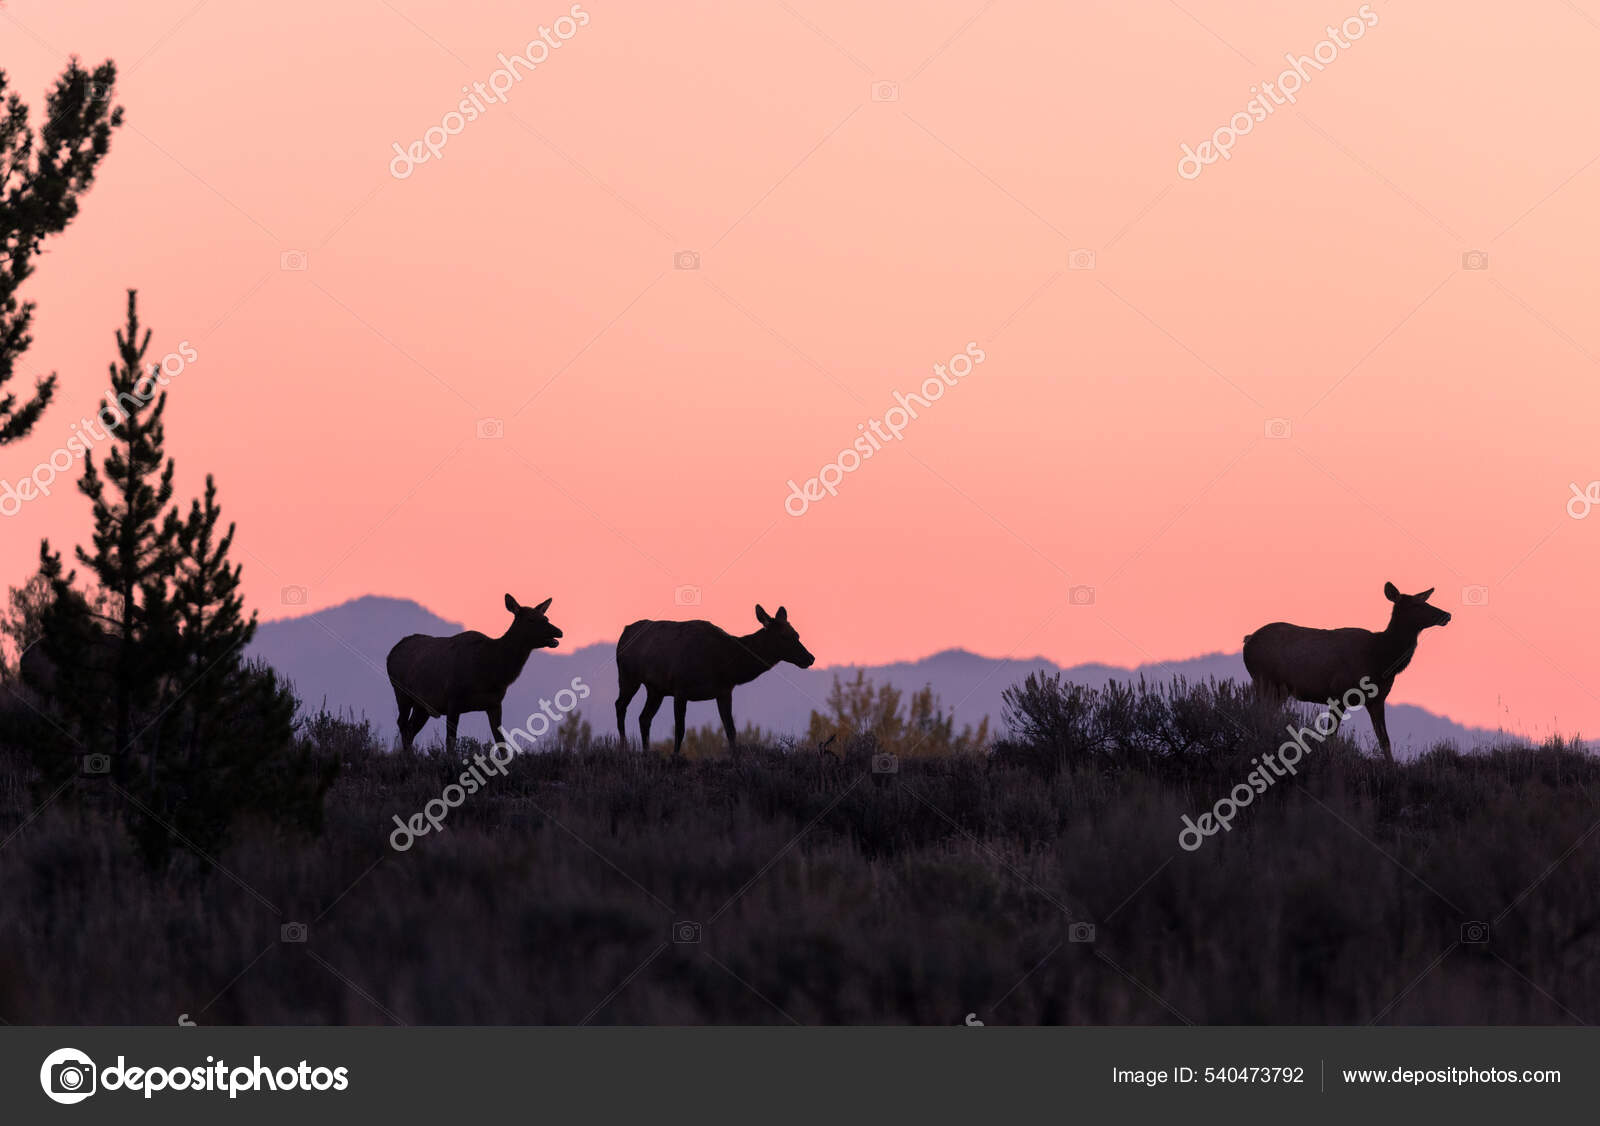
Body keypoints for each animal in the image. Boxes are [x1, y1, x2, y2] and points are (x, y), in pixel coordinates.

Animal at [386, 593, 562, 755]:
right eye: (531, 620)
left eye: (545, 617)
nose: (559, 632)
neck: (491, 674)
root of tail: (391, 653)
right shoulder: (453, 699)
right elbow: (450, 741)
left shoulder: (495, 703)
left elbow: (501, 743)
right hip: (401, 692)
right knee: (402, 724)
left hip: (423, 705)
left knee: (410, 729)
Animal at [615, 604, 815, 756]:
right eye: (784, 636)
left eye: (797, 634)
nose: (810, 658)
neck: (725, 665)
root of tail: (624, 632)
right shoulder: (681, 689)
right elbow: (680, 730)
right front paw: (675, 756)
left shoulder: (724, 691)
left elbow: (731, 730)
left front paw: (736, 760)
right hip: (628, 676)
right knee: (620, 705)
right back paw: (624, 747)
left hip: (656, 690)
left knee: (644, 717)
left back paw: (646, 752)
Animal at [1242, 582, 1451, 762]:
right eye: (1416, 605)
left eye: (1425, 601)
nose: (1446, 614)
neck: (1379, 659)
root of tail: (1248, 639)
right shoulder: (1338, 693)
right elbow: (1331, 736)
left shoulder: (1378, 699)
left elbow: (1385, 740)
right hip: (1263, 679)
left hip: (1279, 691)